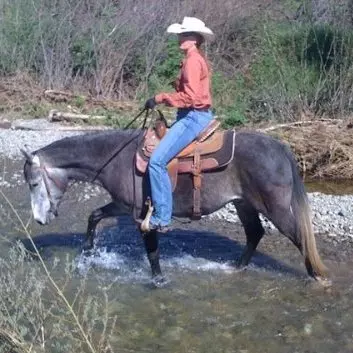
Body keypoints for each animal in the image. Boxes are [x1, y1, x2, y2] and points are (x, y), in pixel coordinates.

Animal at [22, 127, 328, 286]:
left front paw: (159, 281)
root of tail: (279, 146)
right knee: (255, 233)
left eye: (34, 183)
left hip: (275, 208)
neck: (115, 158)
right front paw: (87, 252)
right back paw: (236, 268)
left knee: (298, 236)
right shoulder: (123, 206)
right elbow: (94, 216)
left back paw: (317, 276)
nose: (39, 220)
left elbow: (152, 251)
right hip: (244, 204)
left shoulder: (142, 215)